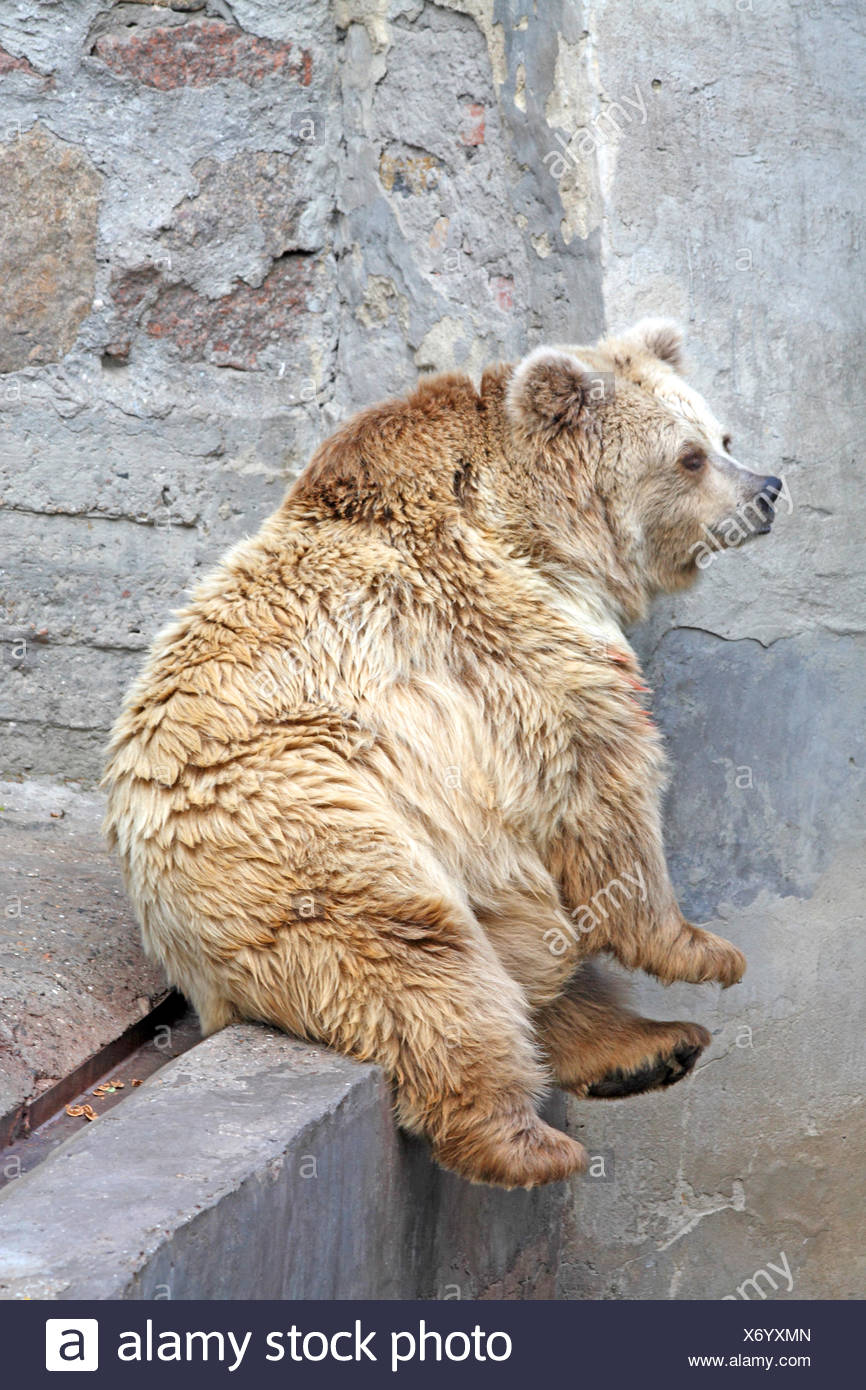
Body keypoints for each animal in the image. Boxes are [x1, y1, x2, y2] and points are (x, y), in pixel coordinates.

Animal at [102, 317, 782, 1189]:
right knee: (416, 959)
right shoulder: (496, 642)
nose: (768, 488)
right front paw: (701, 949)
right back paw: (528, 1139)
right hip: (306, 827)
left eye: (723, 437)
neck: (542, 529)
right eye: (690, 456)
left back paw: (646, 1049)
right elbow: (601, 778)